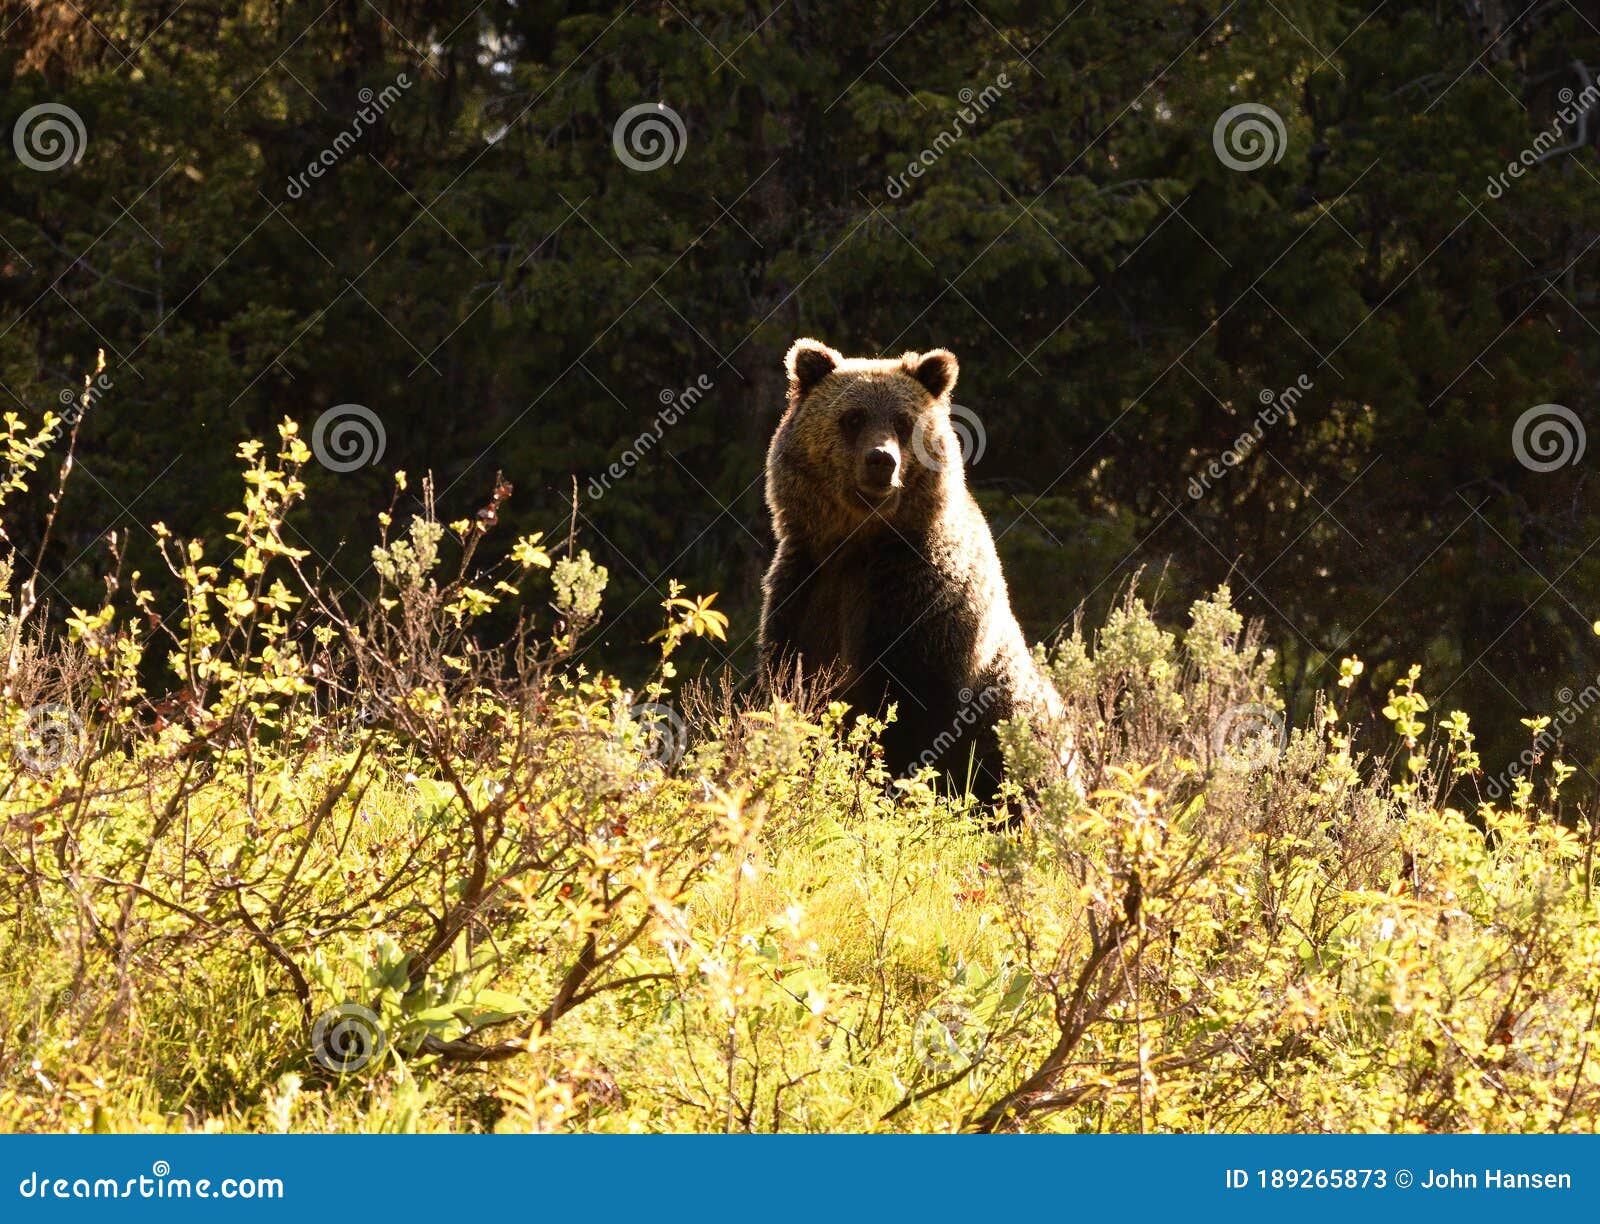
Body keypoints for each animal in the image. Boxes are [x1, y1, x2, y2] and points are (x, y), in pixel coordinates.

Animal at [758, 337, 1074, 799]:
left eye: (903, 422)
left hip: (1022, 731)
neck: (860, 542)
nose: (881, 460)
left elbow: (911, 712)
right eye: (853, 417)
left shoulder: (920, 600)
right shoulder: (808, 586)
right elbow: (795, 682)